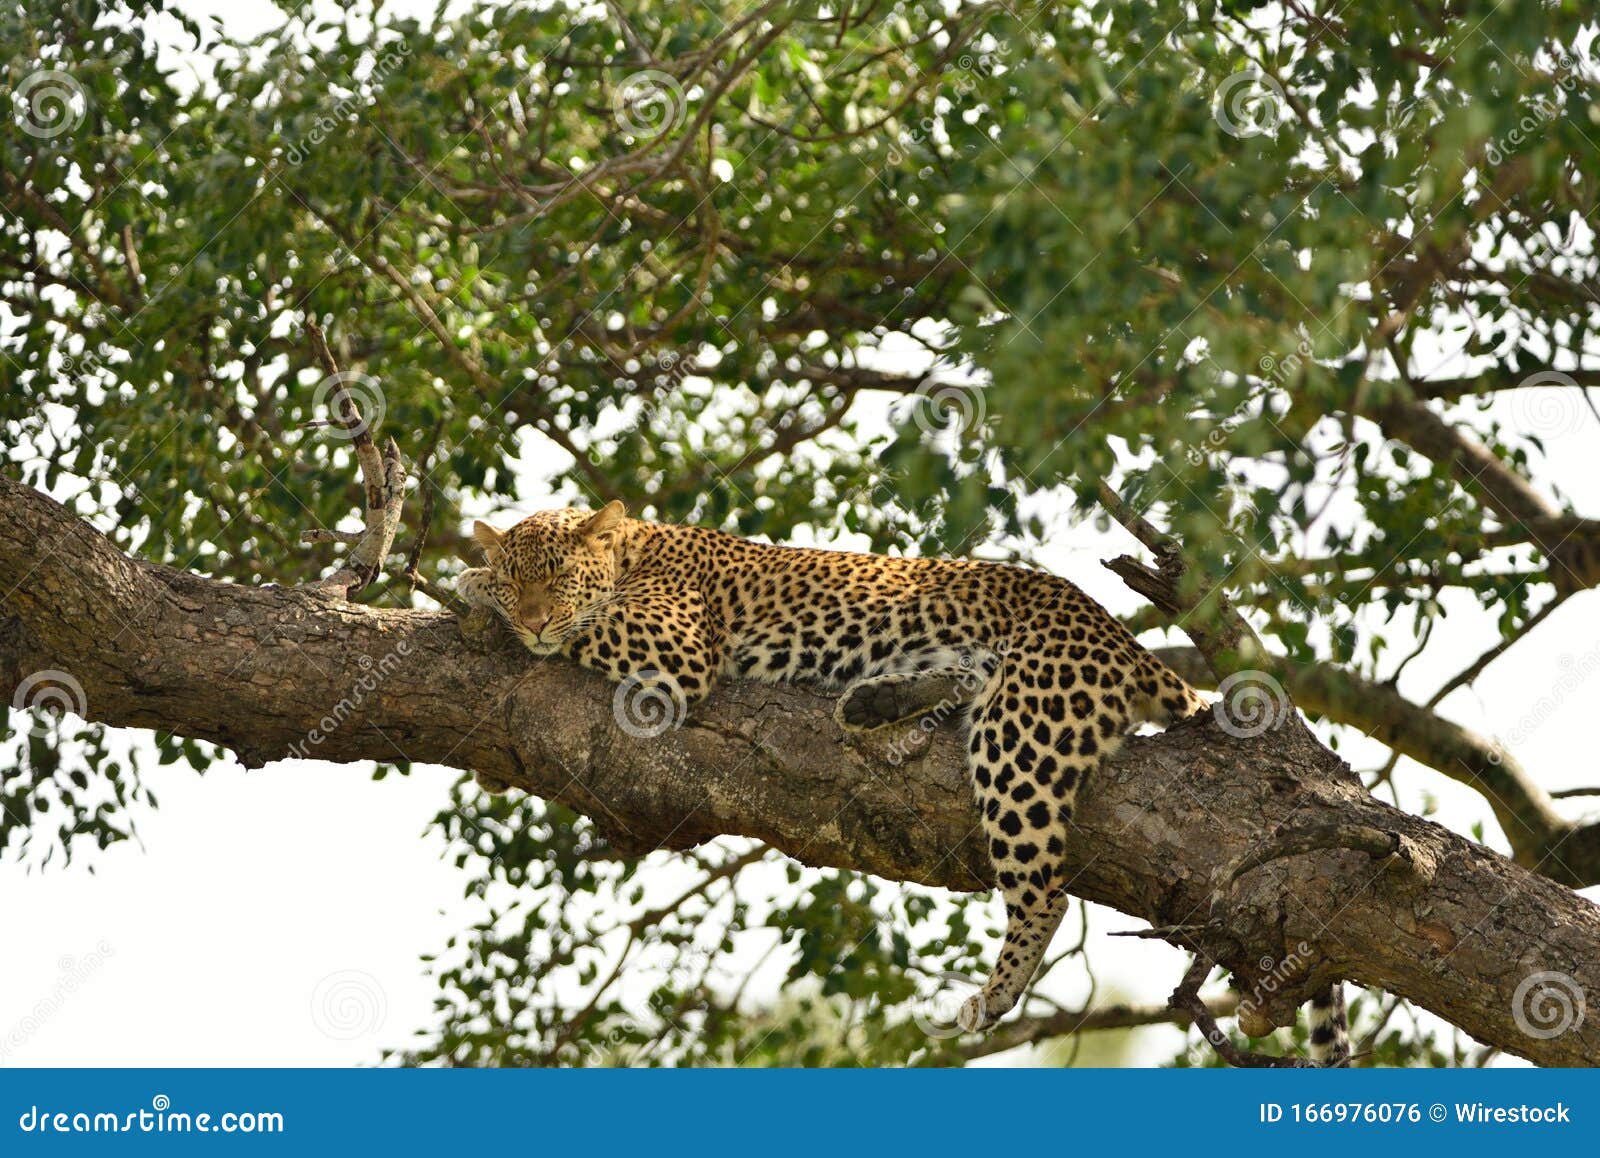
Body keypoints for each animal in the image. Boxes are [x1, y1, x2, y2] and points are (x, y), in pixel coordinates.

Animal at [458, 500, 1348, 1060]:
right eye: (522, 579)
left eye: (557, 580)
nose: (531, 615)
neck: (639, 545)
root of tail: (1122, 638)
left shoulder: (670, 649)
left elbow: (592, 627)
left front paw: (469, 590)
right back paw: (879, 699)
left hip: (1020, 736)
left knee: (1046, 892)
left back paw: (992, 993)